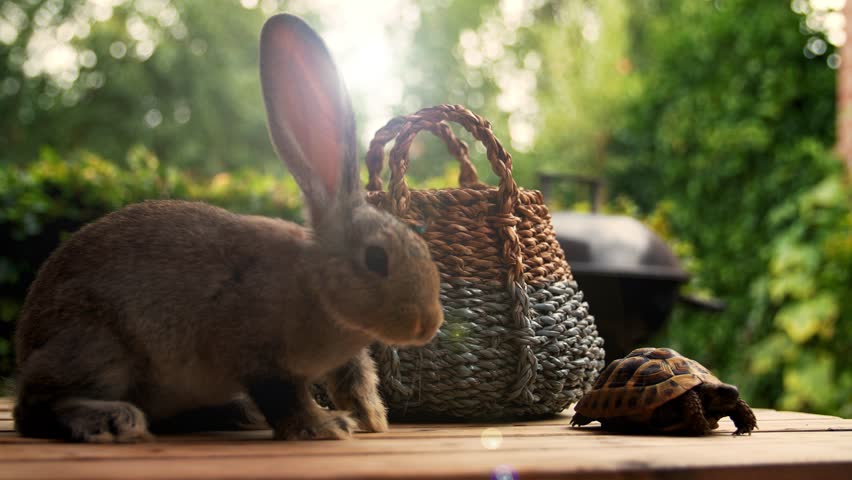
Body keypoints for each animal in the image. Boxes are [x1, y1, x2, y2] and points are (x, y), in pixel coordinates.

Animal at [12, 13, 444, 443]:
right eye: (375, 258)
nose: (428, 324)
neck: (314, 285)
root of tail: (26, 344)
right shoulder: (252, 349)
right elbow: (284, 396)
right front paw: (327, 426)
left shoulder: (339, 361)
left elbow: (353, 380)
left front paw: (371, 420)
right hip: (99, 347)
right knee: (34, 408)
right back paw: (113, 419)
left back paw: (234, 413)